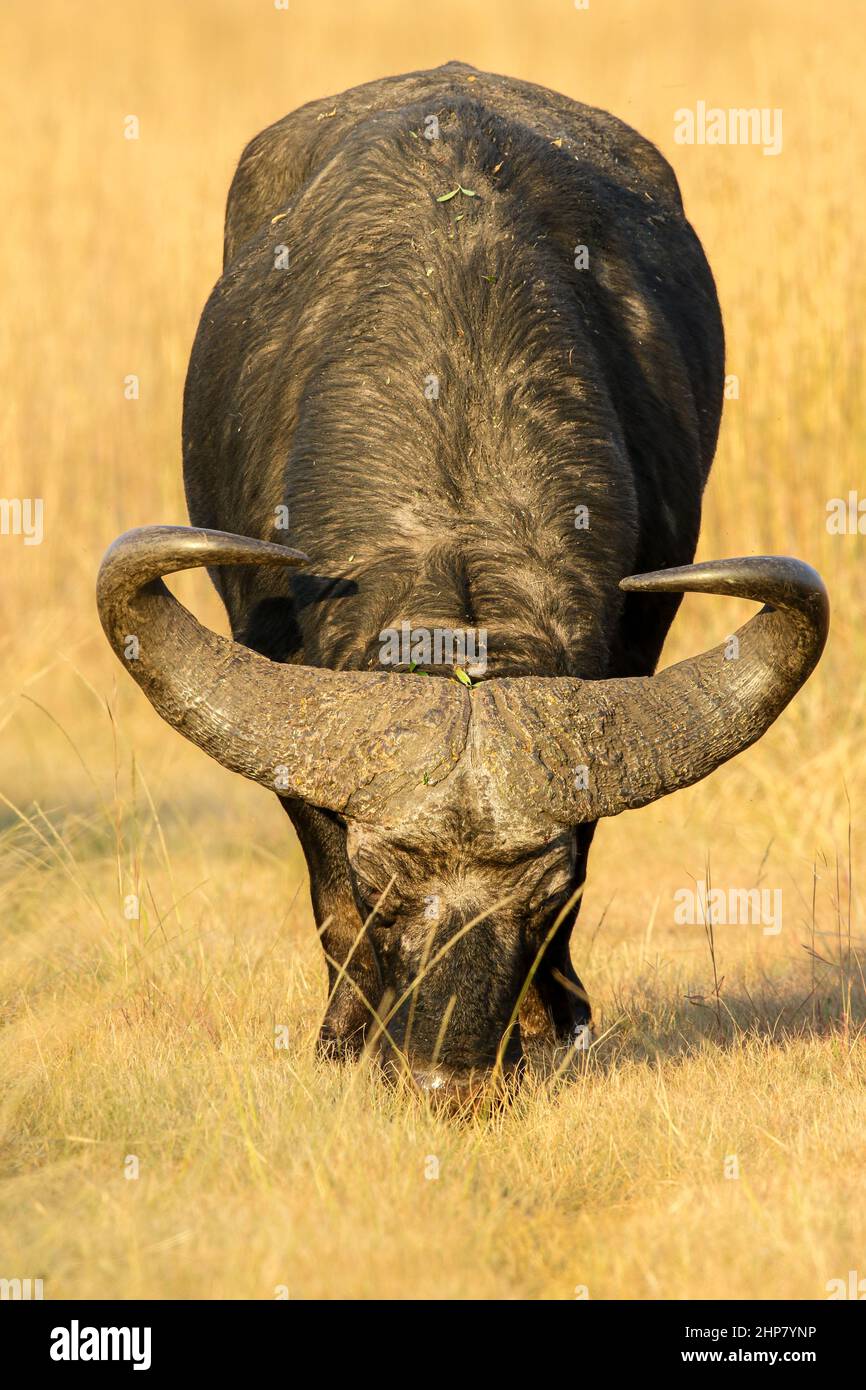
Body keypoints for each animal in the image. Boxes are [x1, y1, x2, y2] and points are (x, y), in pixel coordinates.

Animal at [97, 62, 828, 1107]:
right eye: (383, 884)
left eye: (547, 893)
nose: (446, 1079)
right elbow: (323, 882)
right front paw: (344, 1042)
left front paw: (550, 1029)